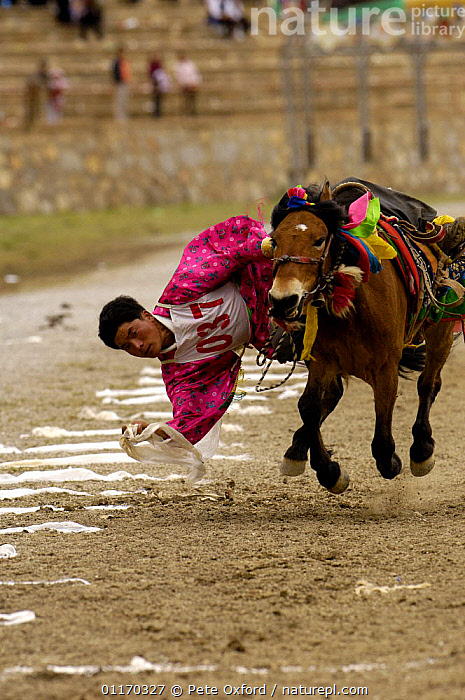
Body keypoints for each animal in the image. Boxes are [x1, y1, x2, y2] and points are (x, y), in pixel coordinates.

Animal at [265, 181, 455, 494]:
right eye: (275, 241)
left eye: (319, 240)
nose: (282, 300)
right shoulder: (322, 360)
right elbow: (309, 407)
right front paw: (330, 471)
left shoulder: (385, 365)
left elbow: (383, 419)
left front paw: (391, 460)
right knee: (330, 397)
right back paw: (295, 452)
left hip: (441, 329)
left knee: (429, 384)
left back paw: (421, 450)